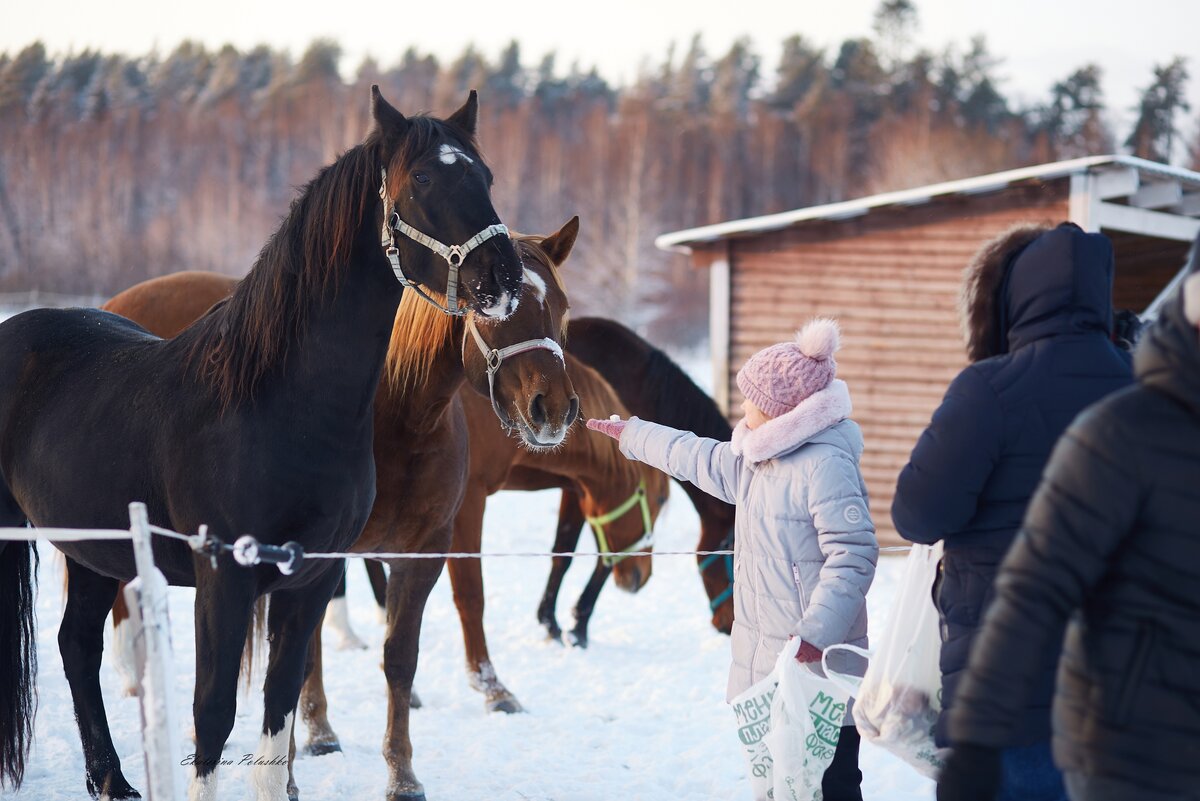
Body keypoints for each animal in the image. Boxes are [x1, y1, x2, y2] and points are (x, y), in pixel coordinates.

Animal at [98, 219, 576, 801]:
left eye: (562, 310)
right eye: (492, 305)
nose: (554, 411)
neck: (398, 415)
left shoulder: (423, 552)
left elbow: (399, 659)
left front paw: (401, 773)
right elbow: (300, 659)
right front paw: (293, 766)